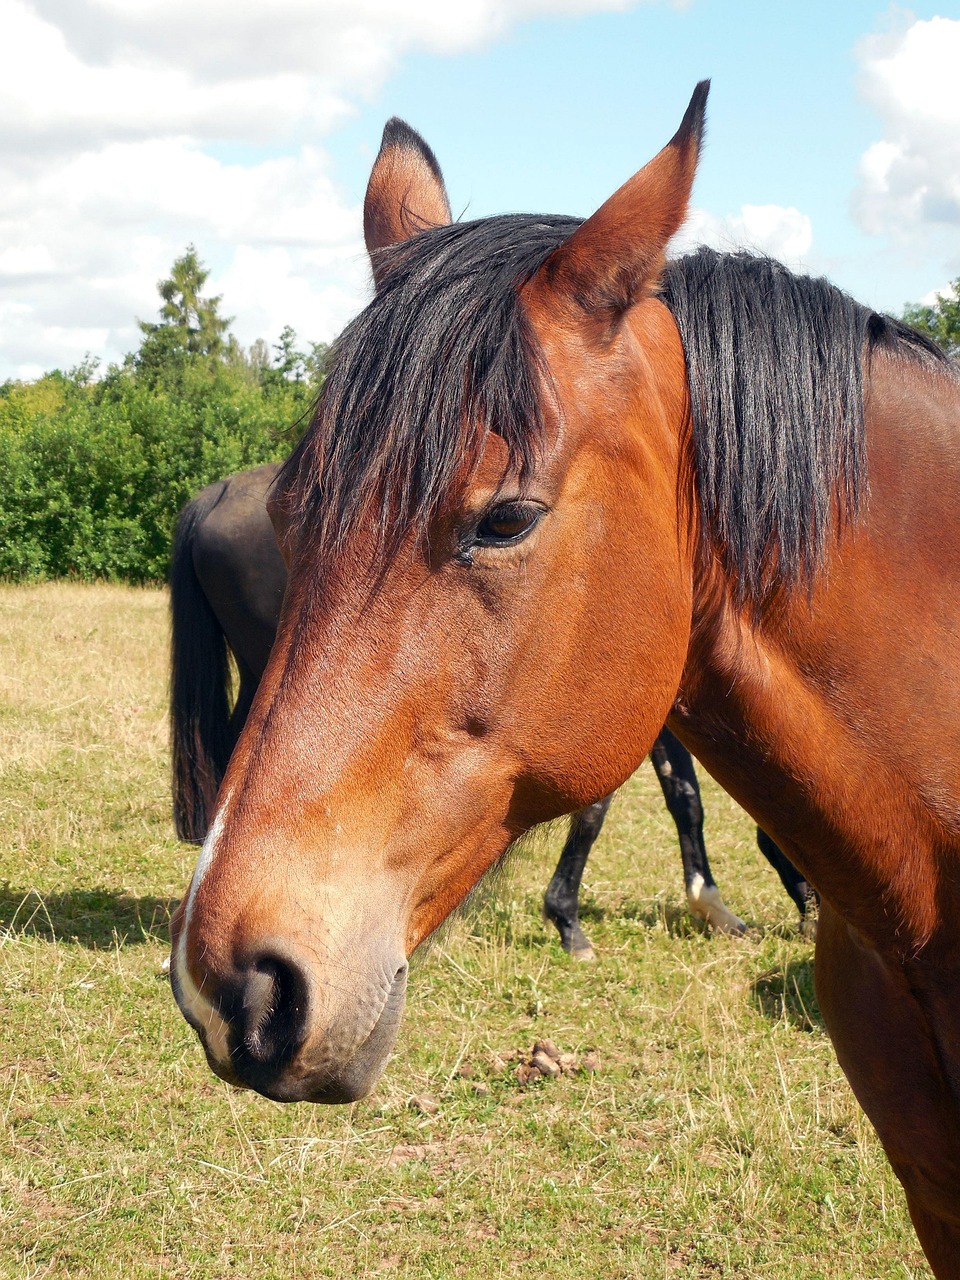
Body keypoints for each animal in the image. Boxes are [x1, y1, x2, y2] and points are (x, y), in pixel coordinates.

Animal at [170, 464, 815, 955]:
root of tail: (213, 494)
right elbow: (596, 811)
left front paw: (712, 905)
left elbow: (684, 798)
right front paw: (567, 919)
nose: (814, 916)